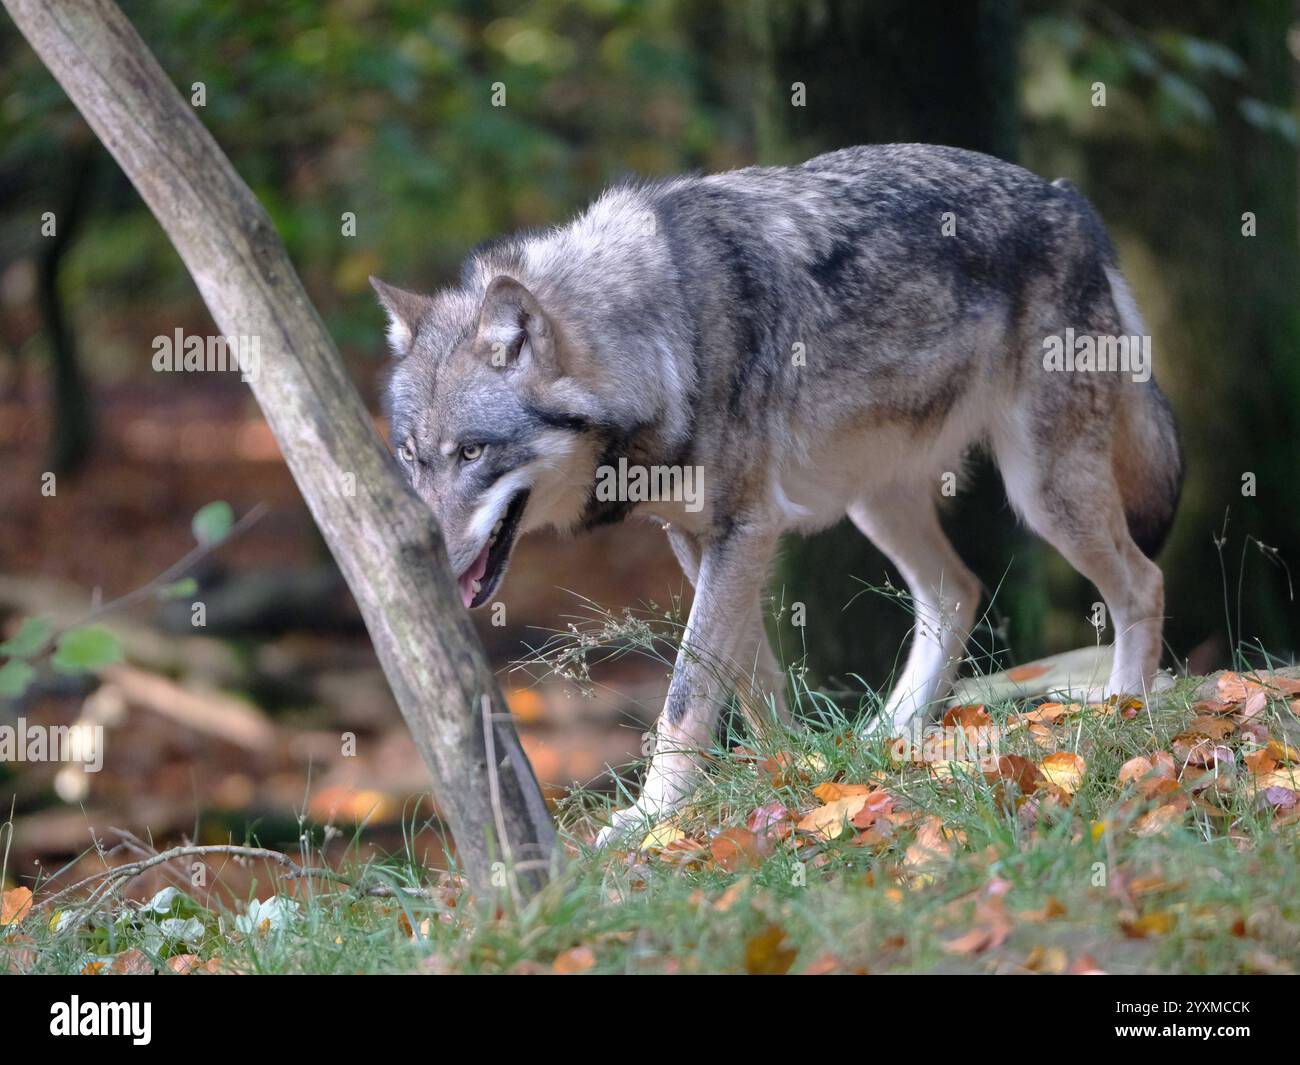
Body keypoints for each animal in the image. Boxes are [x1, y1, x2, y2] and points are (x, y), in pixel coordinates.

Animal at [372, 144, 1182, 844]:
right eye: (411, 458)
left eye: (473, 452)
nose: (423, 561)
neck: (662, 335)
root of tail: (1070, 200)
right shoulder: (702, 538)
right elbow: (747, 681)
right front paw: (793, 771)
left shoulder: (745, 530)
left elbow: (686, 694)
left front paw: (649, 819)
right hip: (877, 502)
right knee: (958, 590)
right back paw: (892, 733)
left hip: (1041, 494)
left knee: (1142, 579)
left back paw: (1123, 709)